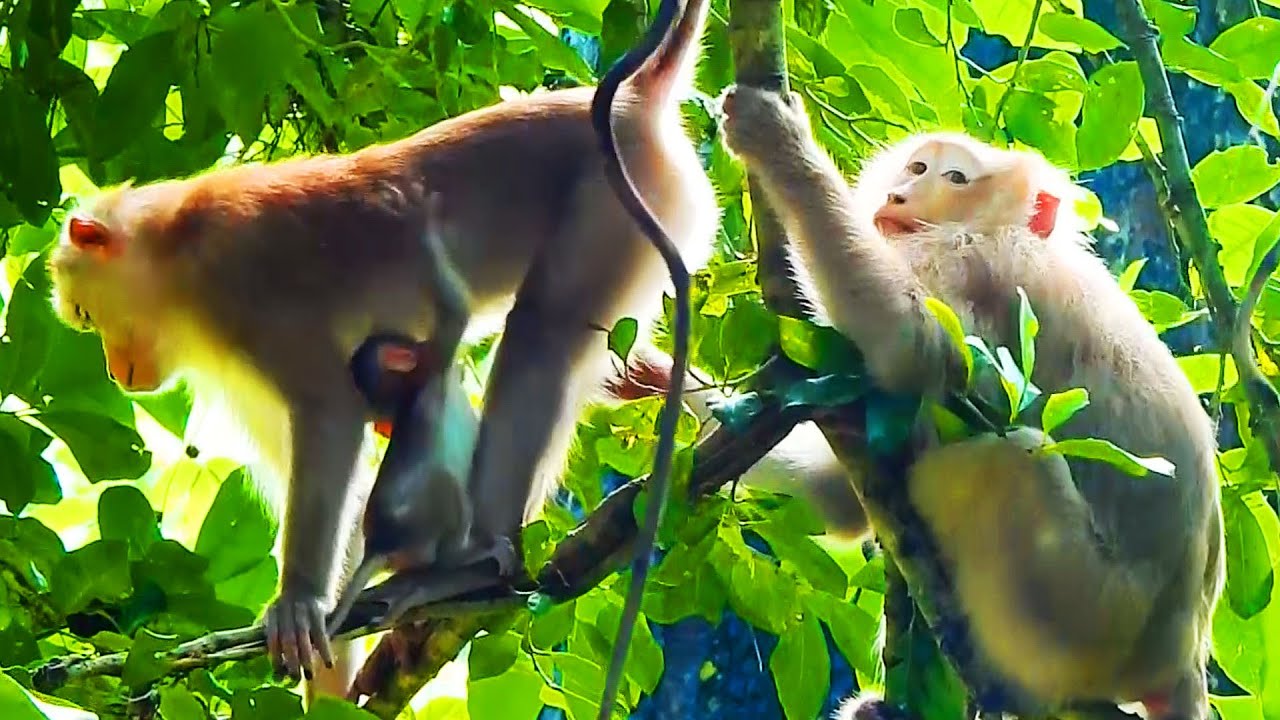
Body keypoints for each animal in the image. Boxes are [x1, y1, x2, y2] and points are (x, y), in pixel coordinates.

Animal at [47, 0, 718, 687]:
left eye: (84, 314)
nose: (117, 370)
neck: (176, 252)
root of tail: (632, 101)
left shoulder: (242, 286)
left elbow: (331, 415)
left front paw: (297, 599)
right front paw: (329, 684)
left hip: (614, 202)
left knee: (542, 332)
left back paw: (473, 566)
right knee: (615, 362)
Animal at [718, 86, 1224, 720]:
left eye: (955, 177)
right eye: (916, 168)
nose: (899, 193)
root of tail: (1178, 660)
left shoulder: (977, 259)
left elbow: (913, 345)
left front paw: (779, 144)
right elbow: (836, 495)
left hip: (1087, 619)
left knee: (1009, 457)